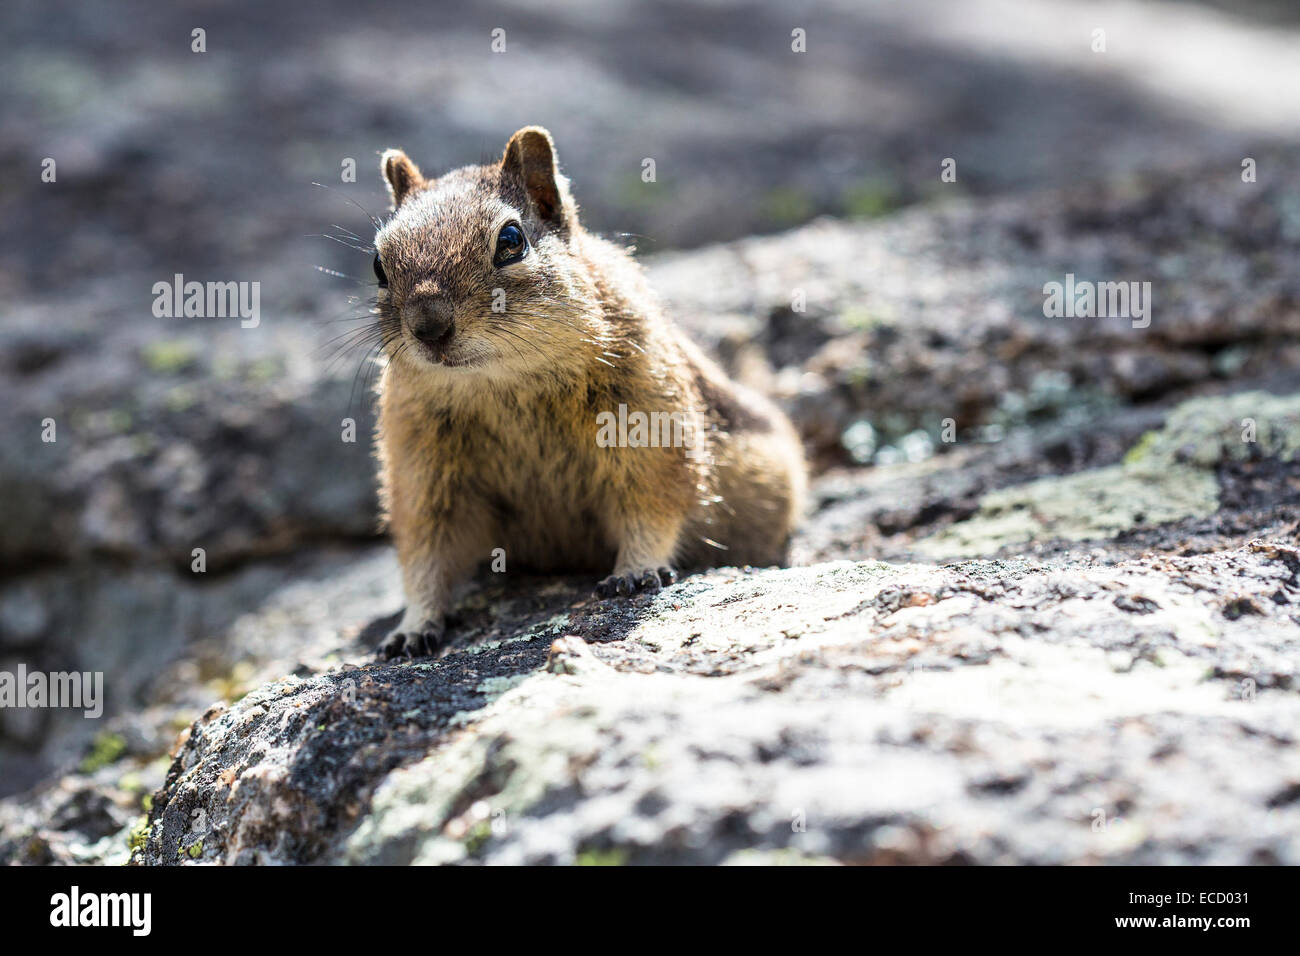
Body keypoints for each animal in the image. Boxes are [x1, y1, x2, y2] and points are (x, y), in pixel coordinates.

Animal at [370, 126, 807, 658]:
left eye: (511, 241)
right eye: (378, 264)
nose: (429, 327)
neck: (503, 383)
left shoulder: (649, 425)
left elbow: (653, 504)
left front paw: (635, 571)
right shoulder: (420, 466)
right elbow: (425, 551)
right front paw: (412, 626)